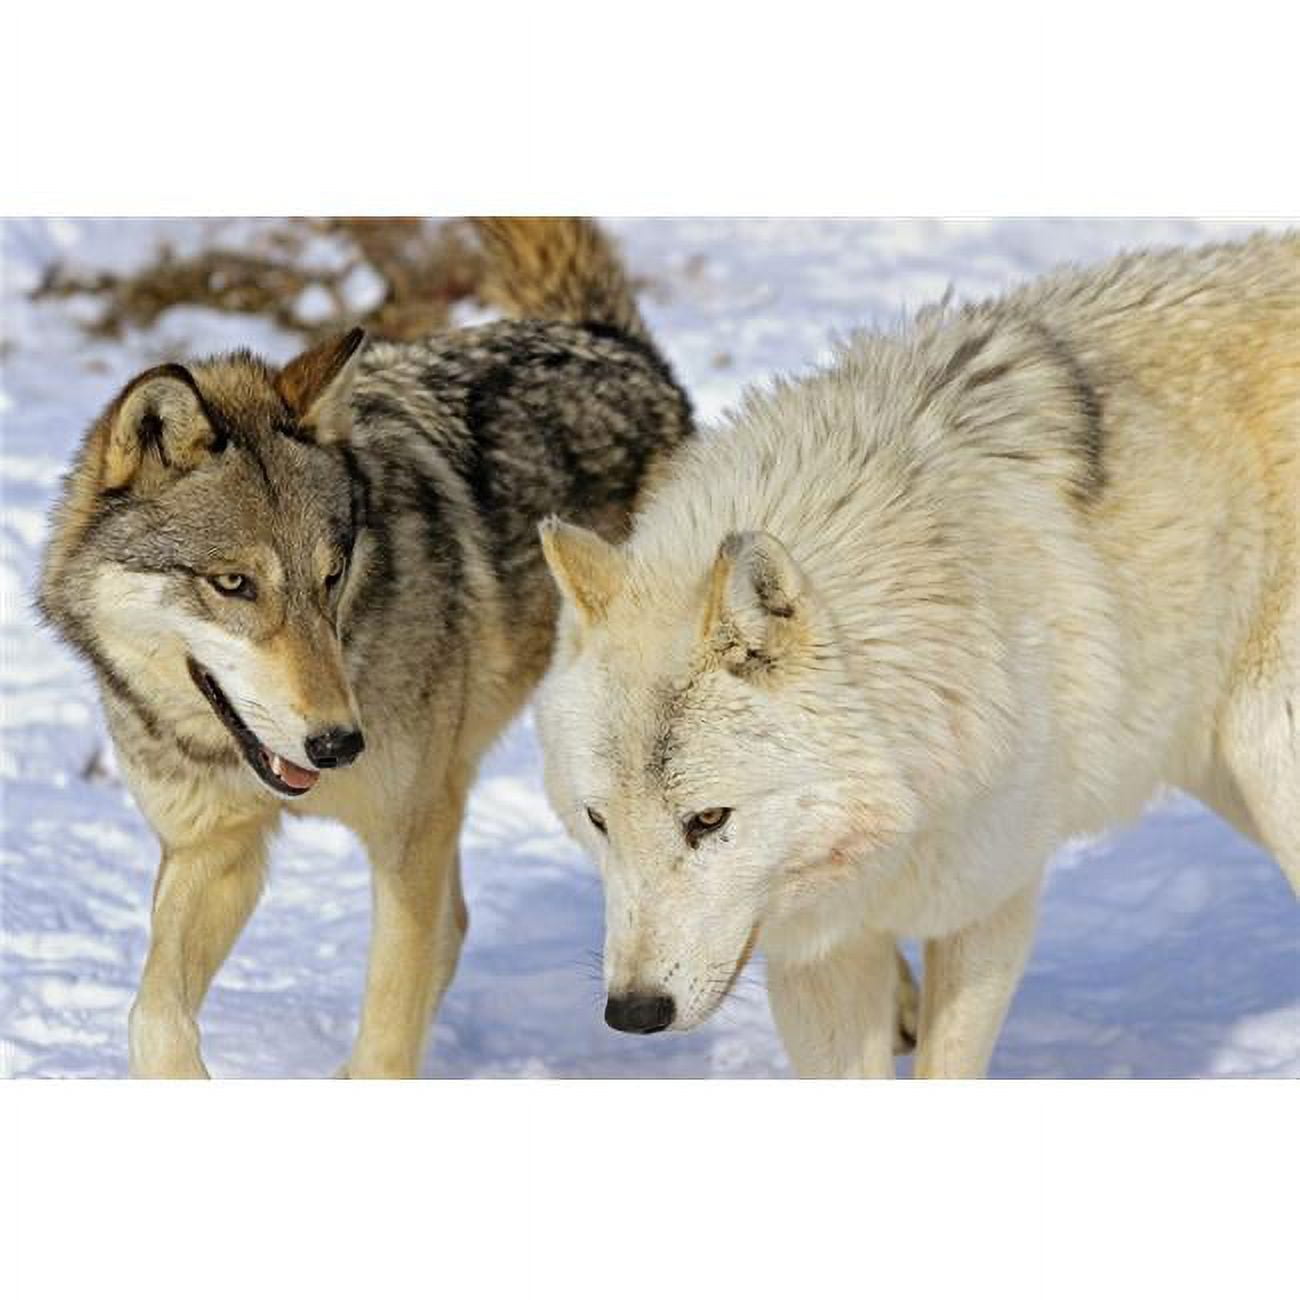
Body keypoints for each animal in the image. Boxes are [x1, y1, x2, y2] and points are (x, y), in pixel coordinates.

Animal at [37, 217, 693, 1078]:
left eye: (332, 574)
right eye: (234, 584)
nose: (339, 744)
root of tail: (611, 342)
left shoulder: (405, 837)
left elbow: (388, 1029)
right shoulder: (215, 849)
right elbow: (152, 1015)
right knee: (457, 923)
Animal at [535, 231, 1299, 1078]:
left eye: (708, 819)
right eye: (598, 820)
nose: (633, 1013)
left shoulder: (989, 902)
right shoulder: (821, 952)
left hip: (1271, 766)